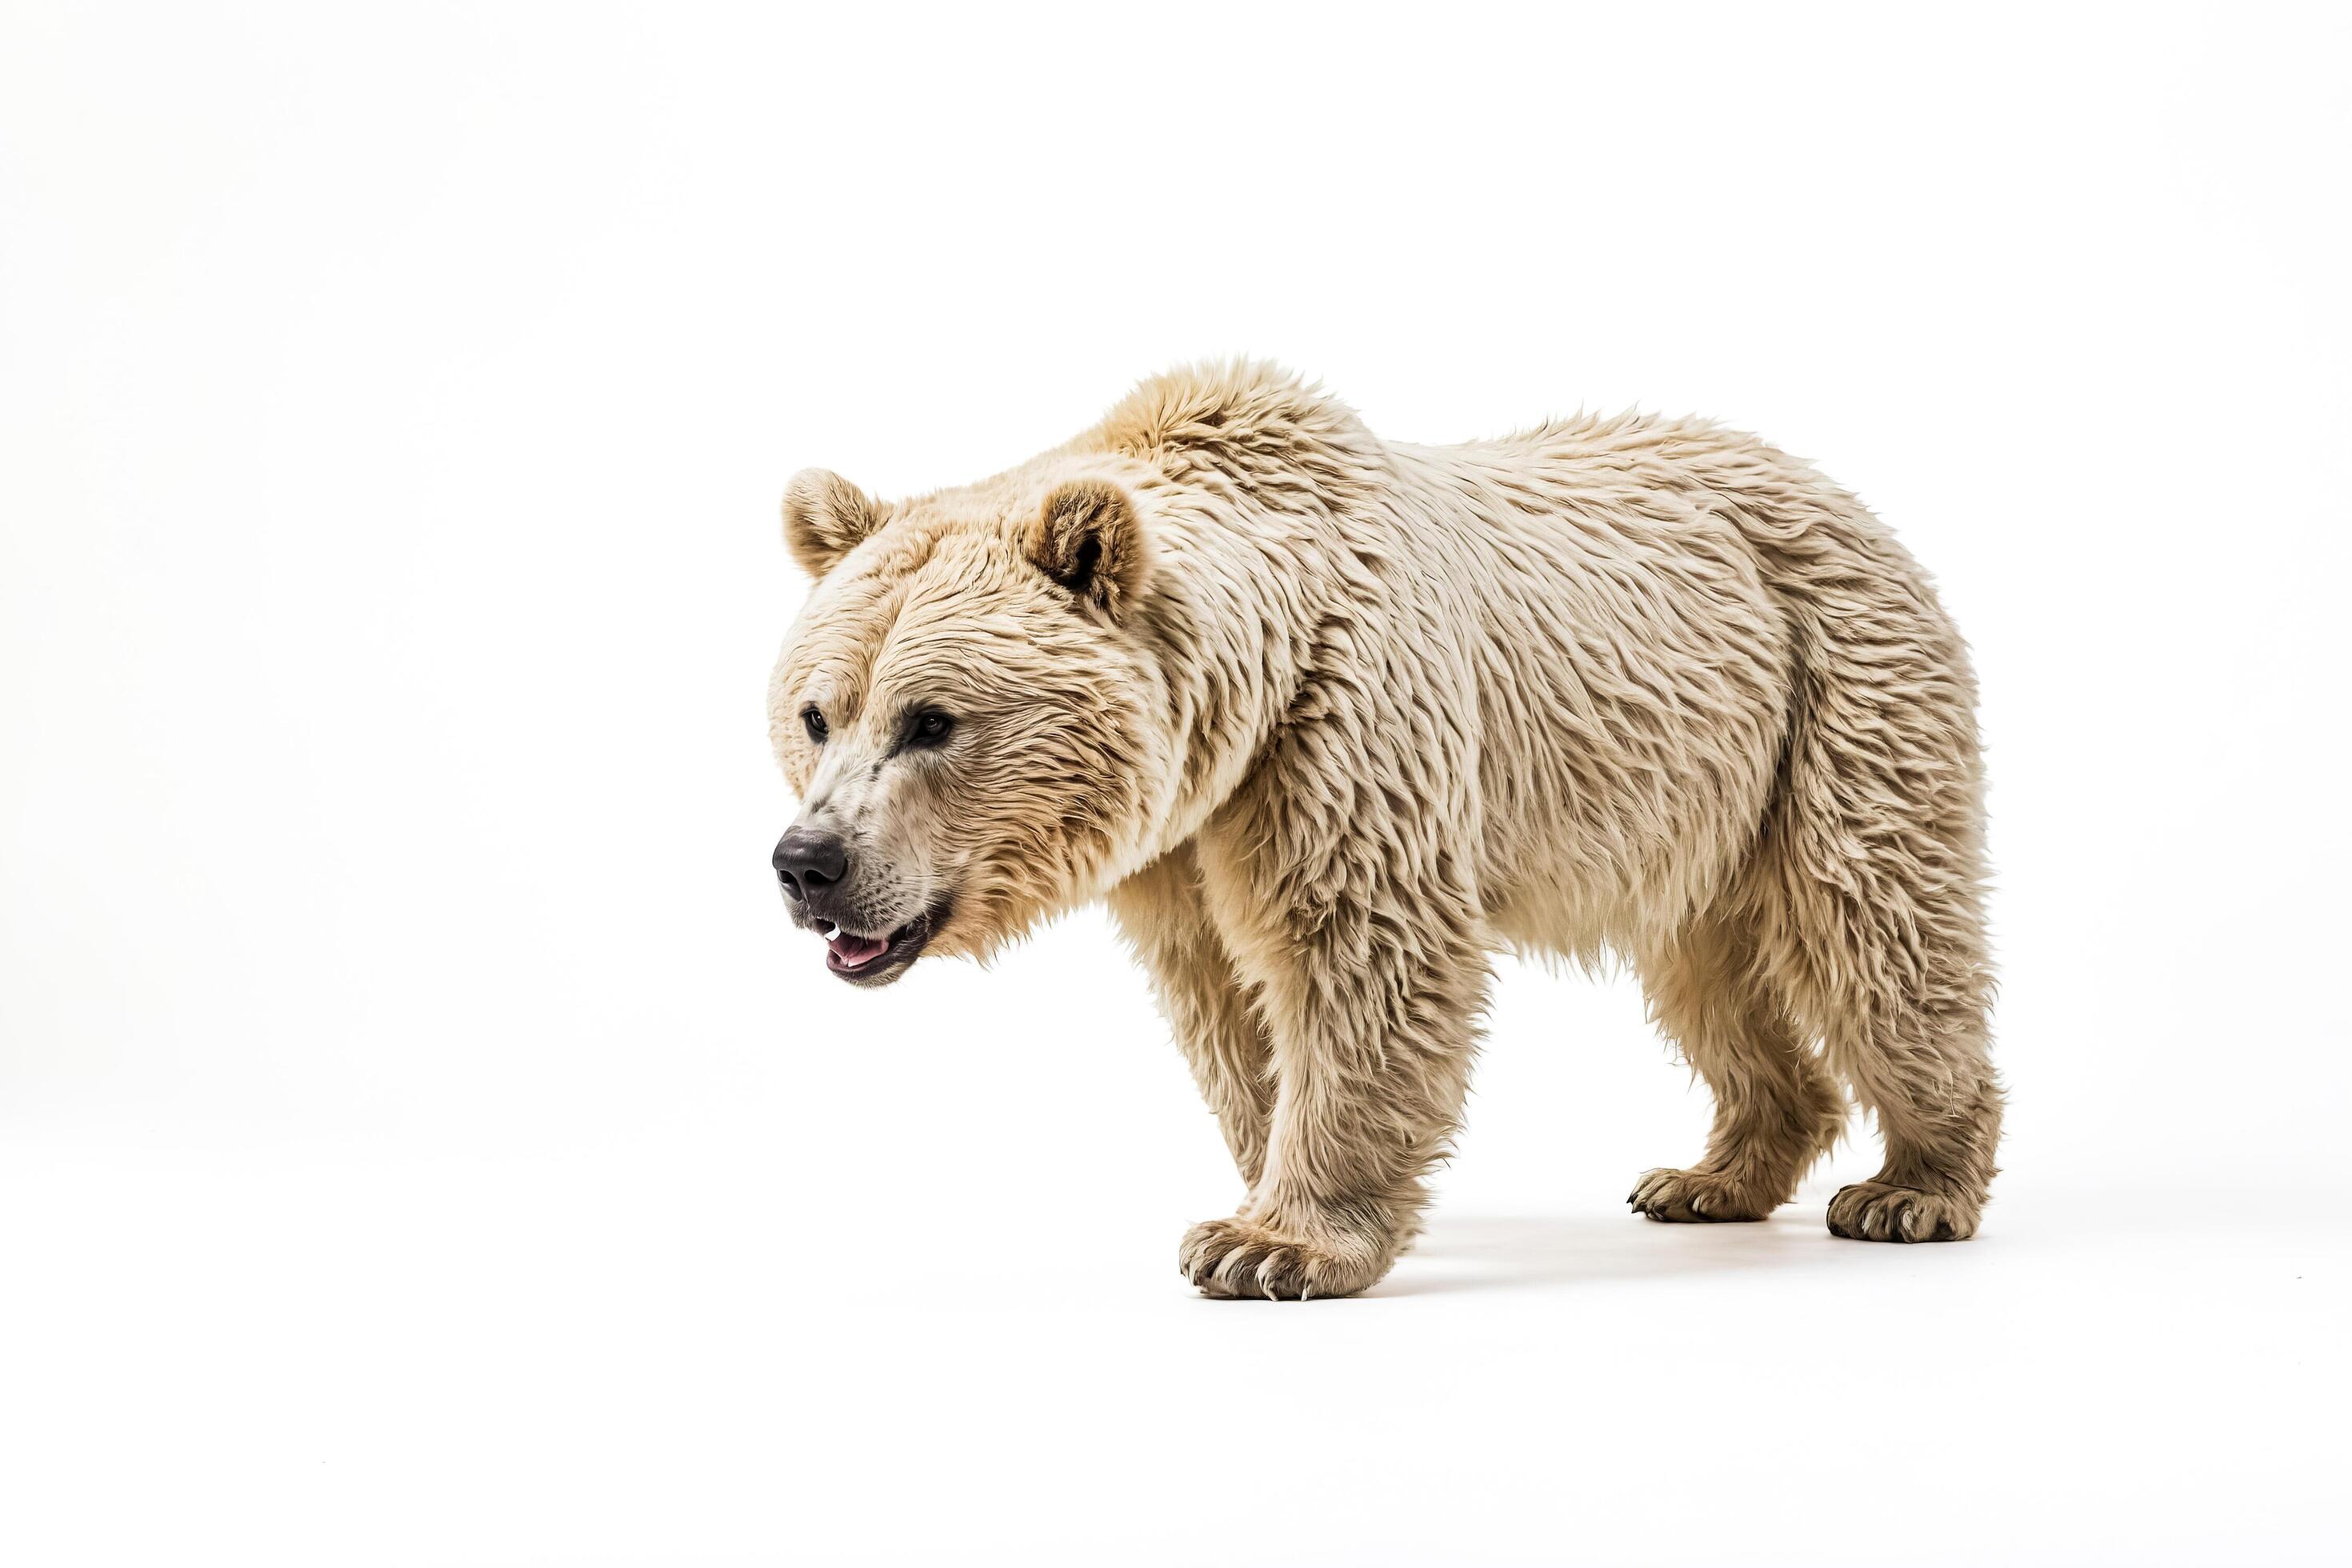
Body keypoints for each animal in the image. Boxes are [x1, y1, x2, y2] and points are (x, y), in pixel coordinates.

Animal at [767, 361, 2001, 1300]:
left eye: (932, 720)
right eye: (817, 712)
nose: (808, 863)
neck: (1241, 689)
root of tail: (1840, 492)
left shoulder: (1345, 732)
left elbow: (1357, 956)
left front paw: (1270, 1245)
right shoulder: (1186, 843)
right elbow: (1228, 1006)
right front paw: (1261, 1185)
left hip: (1835, 702)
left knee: (1877, 934)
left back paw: (1914, 1185)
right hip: (1695, 803)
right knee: (1706, 972)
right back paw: (1713, 1176)